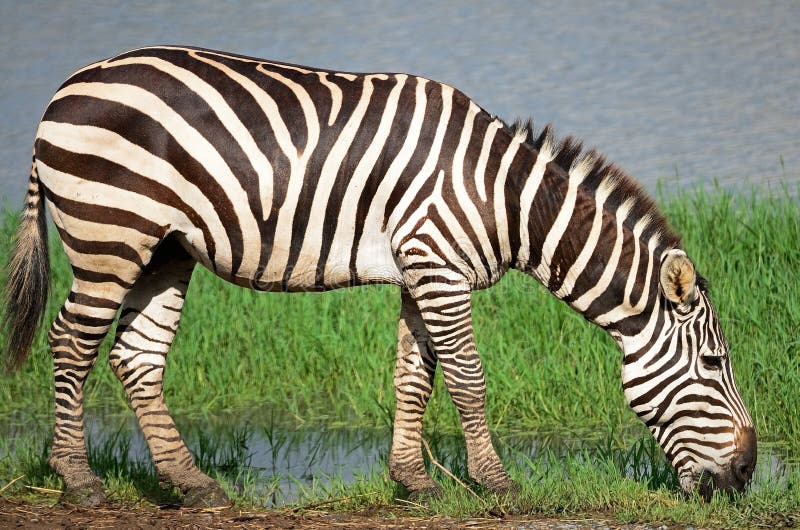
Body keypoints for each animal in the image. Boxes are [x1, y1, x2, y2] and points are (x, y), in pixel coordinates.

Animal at [1, 46, 755, 507]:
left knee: (137, 356)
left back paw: (193, 486)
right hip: (111, 232)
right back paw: (79, 480)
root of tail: (62, 92)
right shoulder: (437, 264)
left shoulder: (423, 271)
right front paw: (497, 484)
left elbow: (412, 376)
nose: (748, 474)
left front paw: (414, 481)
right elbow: (468, 378)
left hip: (163, 249)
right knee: (72, 341)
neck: (503, 199)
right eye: (715, 364)